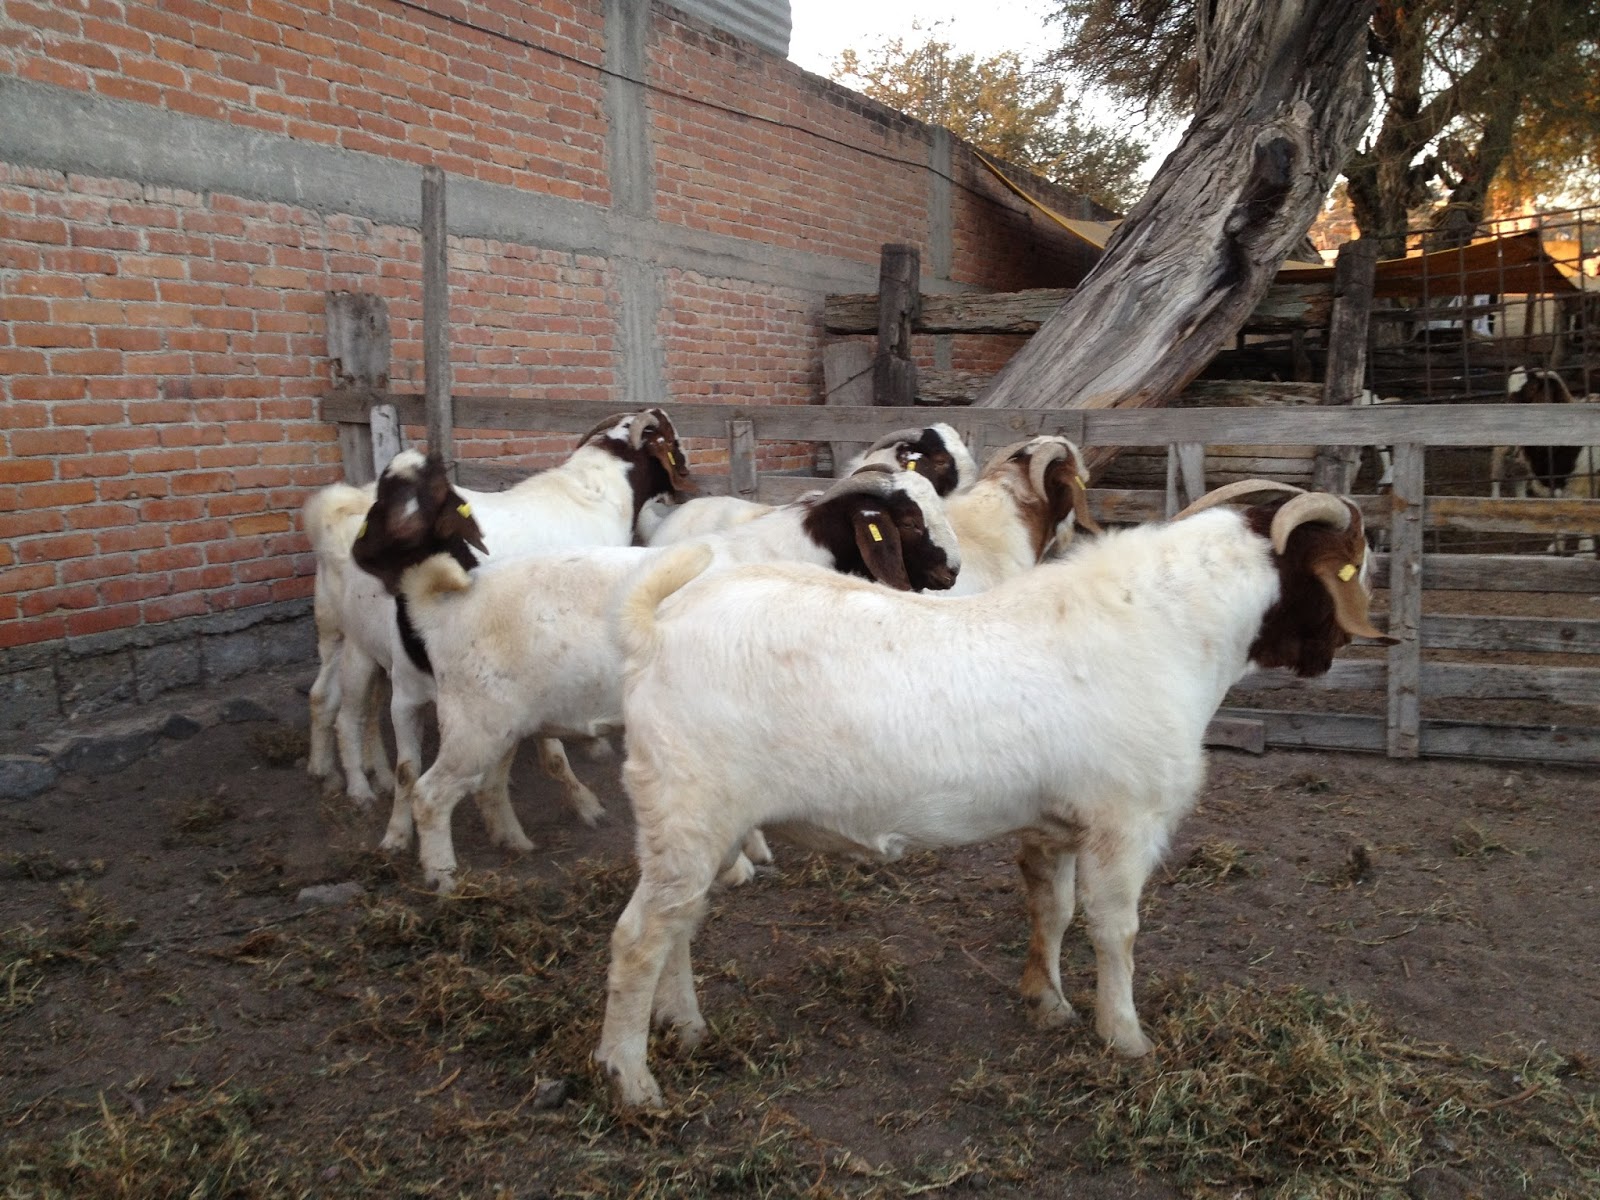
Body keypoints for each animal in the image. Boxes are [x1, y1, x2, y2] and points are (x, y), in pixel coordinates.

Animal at [303, 408, 694, 823]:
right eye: (673, 440)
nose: (686, 473)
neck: (599, 494)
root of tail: (336, 517)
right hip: (363, 642)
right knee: (350, 714)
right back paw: (359, 788)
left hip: (337, 631)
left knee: (326, 696)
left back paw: (334, 772)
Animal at [351, 454, 961, 891]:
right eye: (908, 521)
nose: (952, 571)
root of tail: (439, 603)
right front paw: (742, 863)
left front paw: (753, 851)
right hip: (471, 721)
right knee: (429, 793)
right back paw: (442, 878)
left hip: (499, 722)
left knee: (487, 785)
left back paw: (514, 842)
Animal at [593, 479, 1394, 1108]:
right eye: (1348, 563)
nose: (1336, 650)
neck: (1164, 625)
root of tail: (653, 630)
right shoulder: (1123, 820)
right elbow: (1116, 929)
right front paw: (1125, 1036)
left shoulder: (1059, 823)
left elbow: (1053, 909)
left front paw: (1048, 1002)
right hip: (688, 812)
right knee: (638, 939)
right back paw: (632, 1080)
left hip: (704, 825)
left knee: (680, 926)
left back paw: (687, 1029)